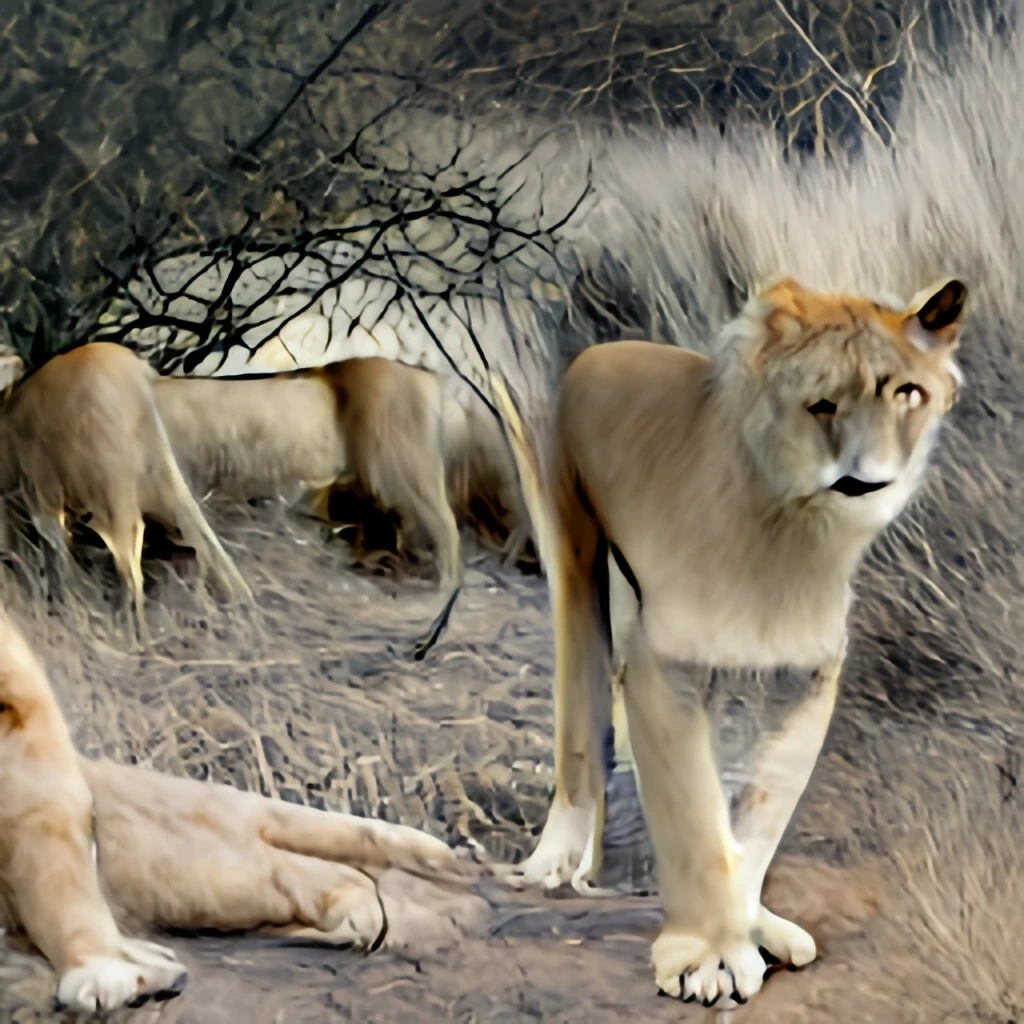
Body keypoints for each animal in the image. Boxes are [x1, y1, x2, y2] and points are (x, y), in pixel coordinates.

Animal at [0, 343, 251, 633]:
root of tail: (137, 374)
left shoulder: (41, 492)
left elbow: (54, 548)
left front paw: (67, 606)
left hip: (111, 492)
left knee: (132, 568)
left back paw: (131, 632)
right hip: (161, 477)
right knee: (206, 543)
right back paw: (242, 612)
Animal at [491, 275, 969, 1007]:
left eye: (905, 392)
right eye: (820, 402)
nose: (862, 477)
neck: (794, 539)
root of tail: (609, 346)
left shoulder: (809, 678)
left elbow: (756, 822)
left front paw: (750, 930)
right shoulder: (662, 665)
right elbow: (693, 815)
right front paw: (703, 958)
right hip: (575, 560)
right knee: (582, 724)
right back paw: (556, 862)